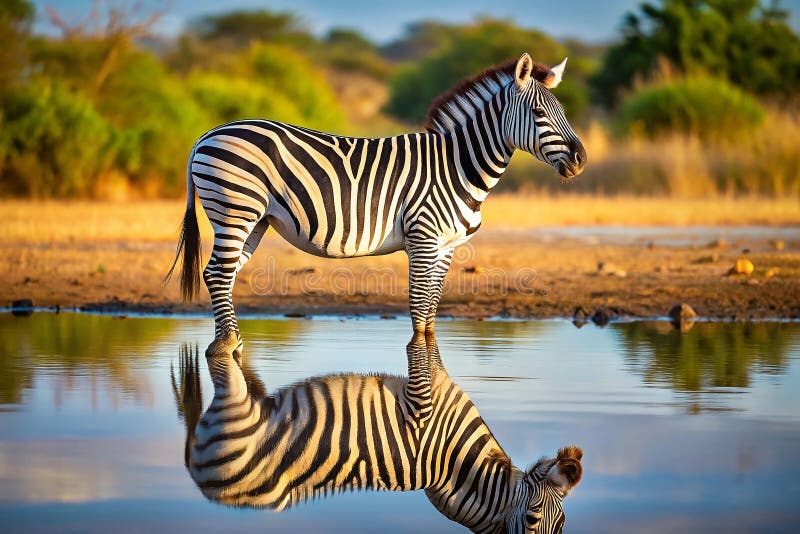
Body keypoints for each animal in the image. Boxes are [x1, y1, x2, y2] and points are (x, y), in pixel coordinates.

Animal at [167, 52, 587, 356]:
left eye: (565, 112)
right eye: (538, 113)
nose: (581, 159)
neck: (458, 167)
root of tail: (207, 134)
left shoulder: (447, 246)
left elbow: (432, 310)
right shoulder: (423, 237)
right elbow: (418, 306)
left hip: (254, 220)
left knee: (223, 274)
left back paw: (228, 343)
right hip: (234, 210)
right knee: (217, 273)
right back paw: (226, 347)